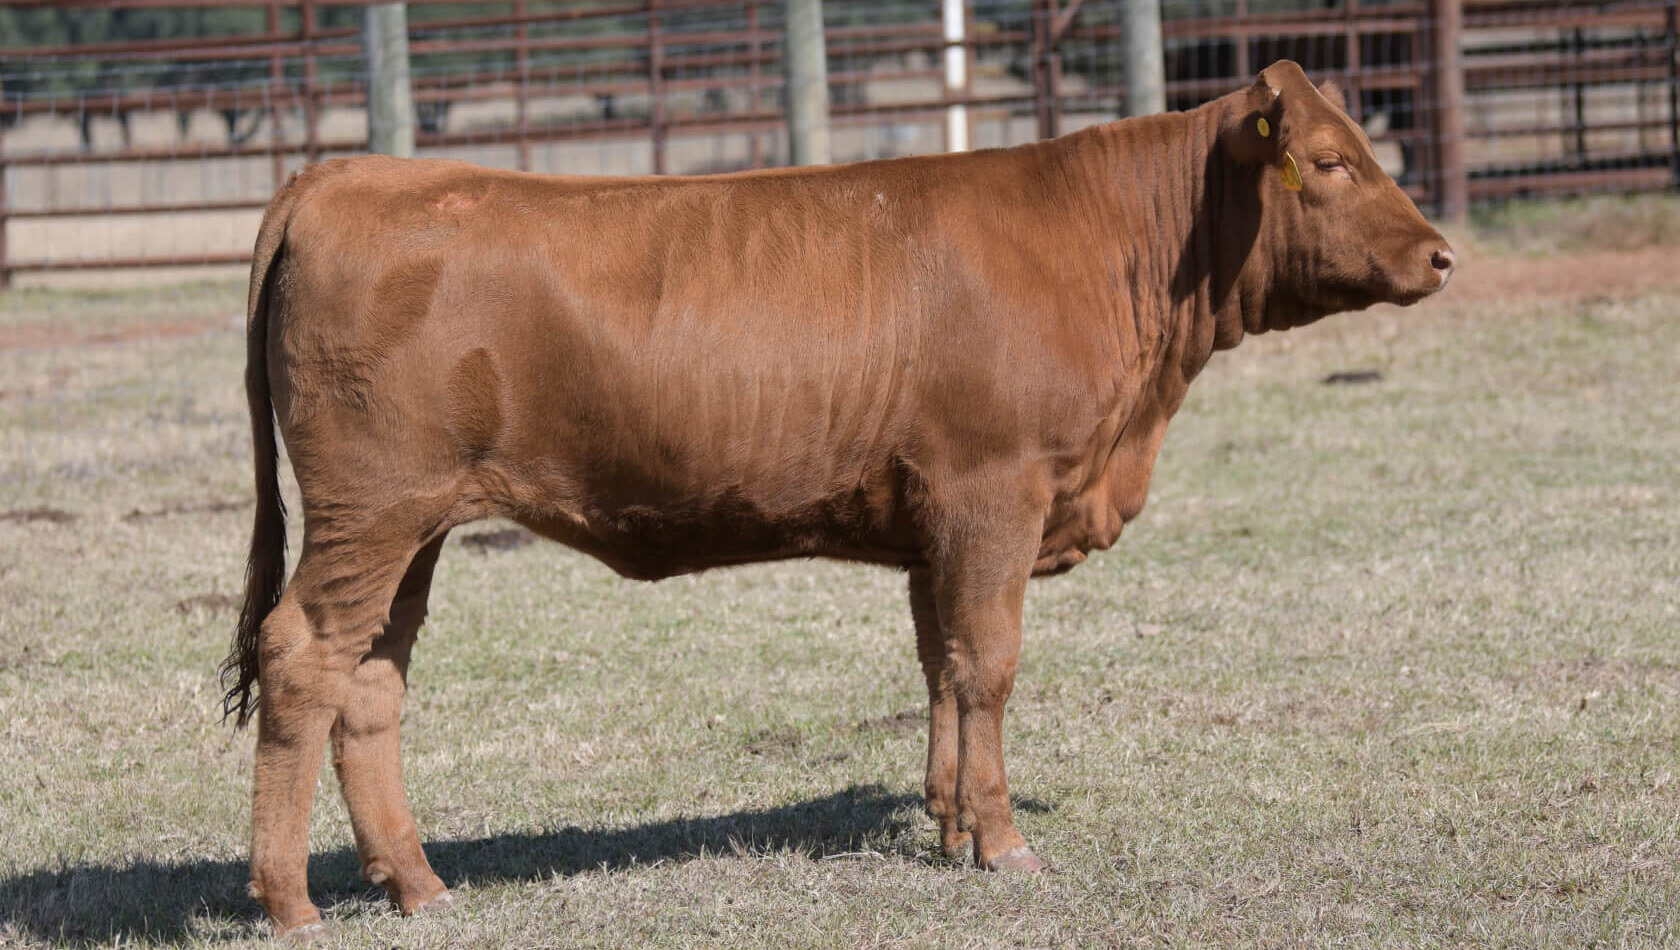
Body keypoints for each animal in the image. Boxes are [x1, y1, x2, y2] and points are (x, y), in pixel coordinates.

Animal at [222, 60, 1454, 939]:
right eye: (1331, 162)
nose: (1442, 255)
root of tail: (351, 173)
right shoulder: (993, 494)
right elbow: (989, 663)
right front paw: (1003, 842)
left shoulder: (935, 527)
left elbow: (942, 666)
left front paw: (949, 825)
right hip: (370, 510)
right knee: (303, 658)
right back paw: (292, 902)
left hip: (414, 522)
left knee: (370, 680)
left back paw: (418, 882)